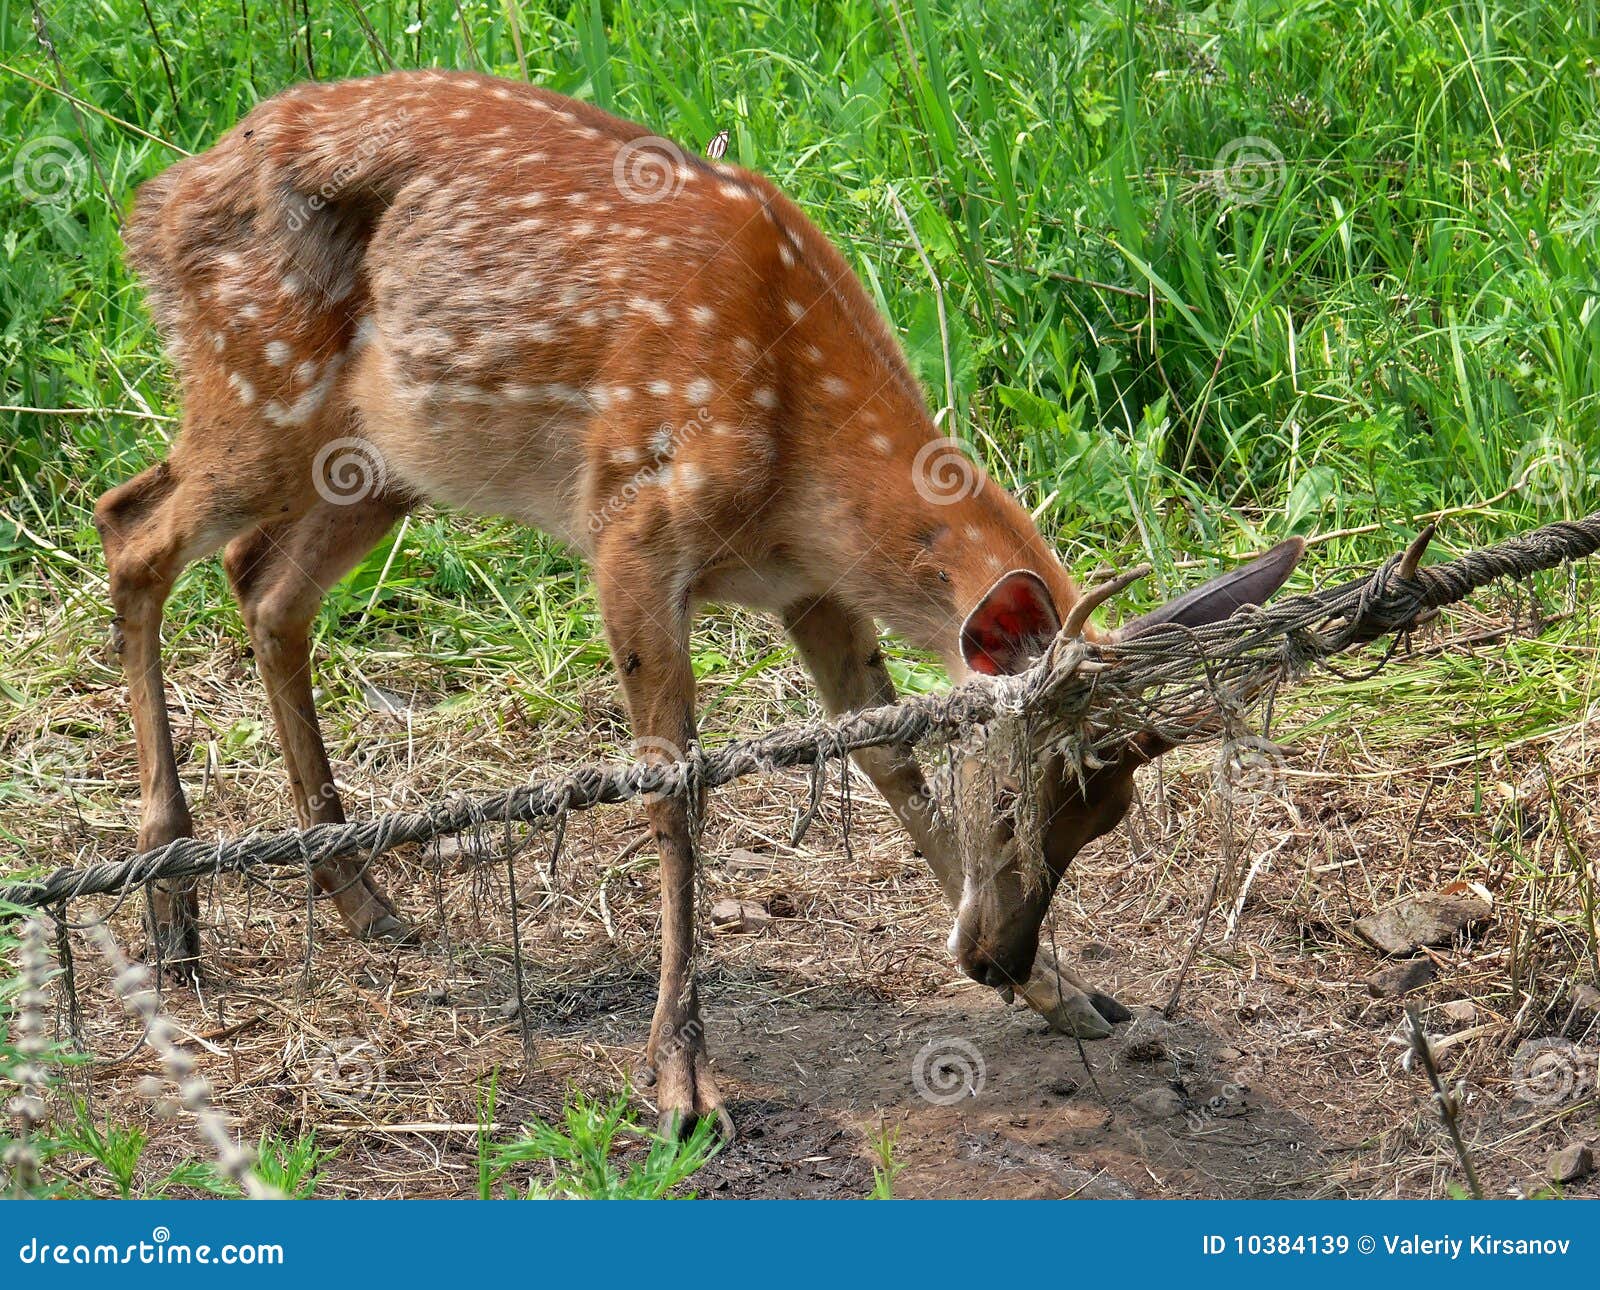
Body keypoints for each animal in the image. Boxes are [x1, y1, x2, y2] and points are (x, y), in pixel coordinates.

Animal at [96, 69, 1305, 1138]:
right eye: (1010, 798)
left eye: (1108, 816)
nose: (997, 954)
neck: (806, 459)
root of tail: (153, 202)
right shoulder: (633, 525)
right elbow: (674, 788)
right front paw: (679, 1081)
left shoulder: (812, 586)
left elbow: (884, 753)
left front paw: (1068, 997)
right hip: (256, 383)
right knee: (132, 526)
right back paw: (171, 906)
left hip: (382, 458)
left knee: (262, 584)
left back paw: (359, 897)